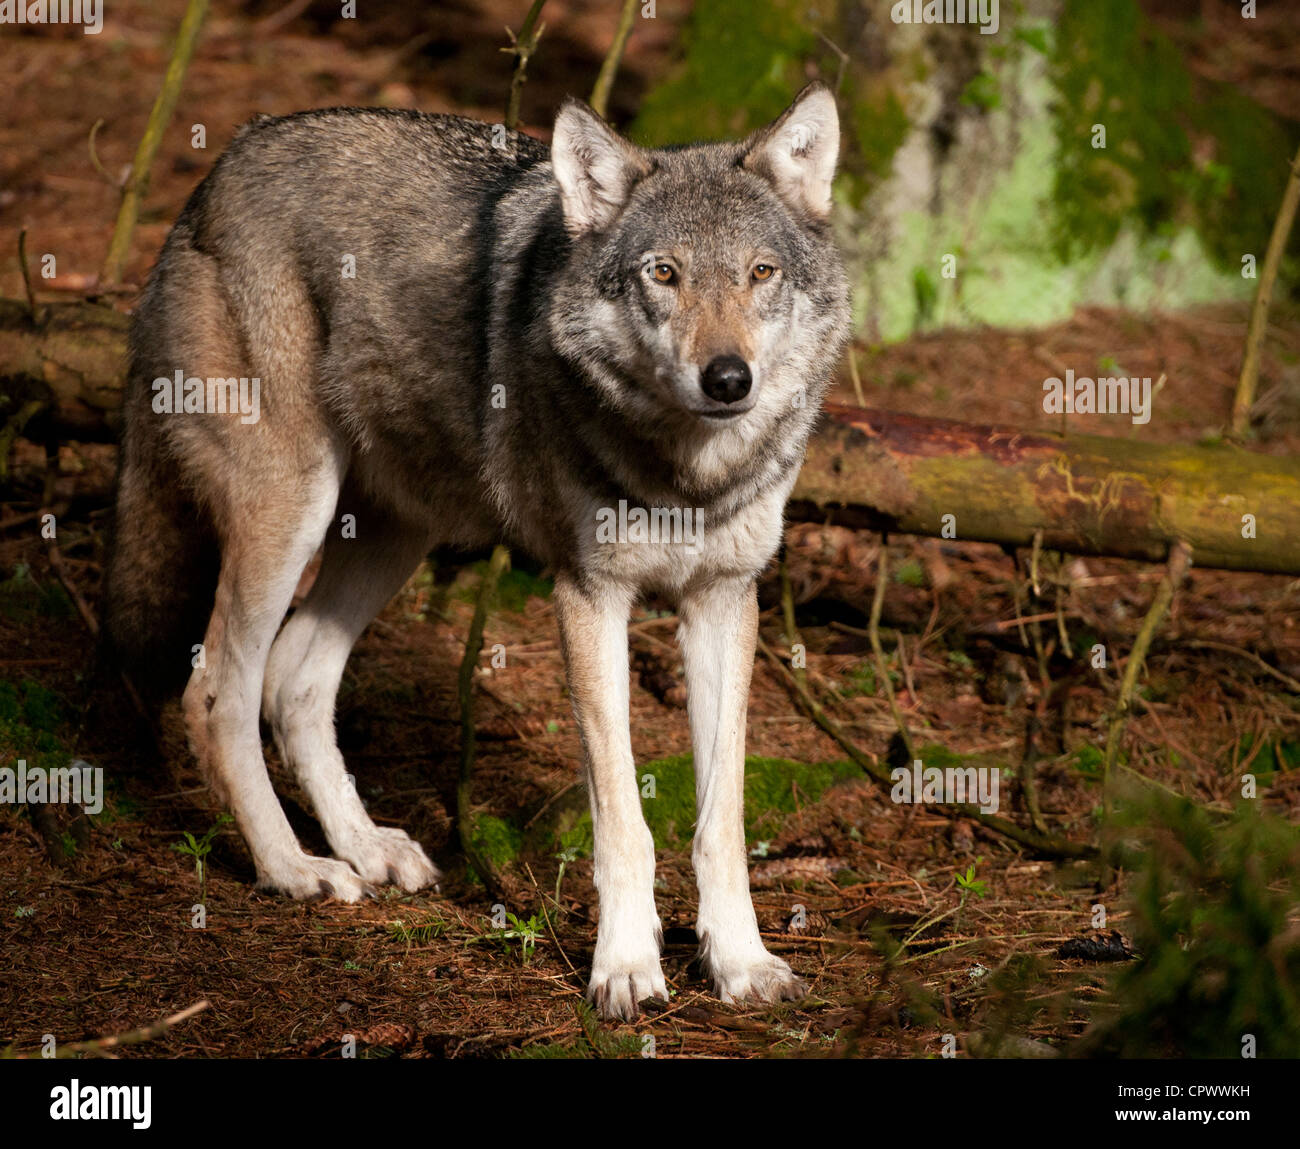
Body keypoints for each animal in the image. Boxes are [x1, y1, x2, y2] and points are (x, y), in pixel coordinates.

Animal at [105, 83, 851, 1019]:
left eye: (760, 273)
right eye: (663, 273)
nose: (727, 379)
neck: (690, 475)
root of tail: (213, 176)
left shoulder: (725, 598)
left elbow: (721, 821)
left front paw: (740, 962)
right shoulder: (588, 596)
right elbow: (624, 820)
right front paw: (626, 967)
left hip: (395, 534)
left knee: (296, 679)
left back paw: (366, 848)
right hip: (292, 513)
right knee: (217, 692)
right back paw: (295, 868)